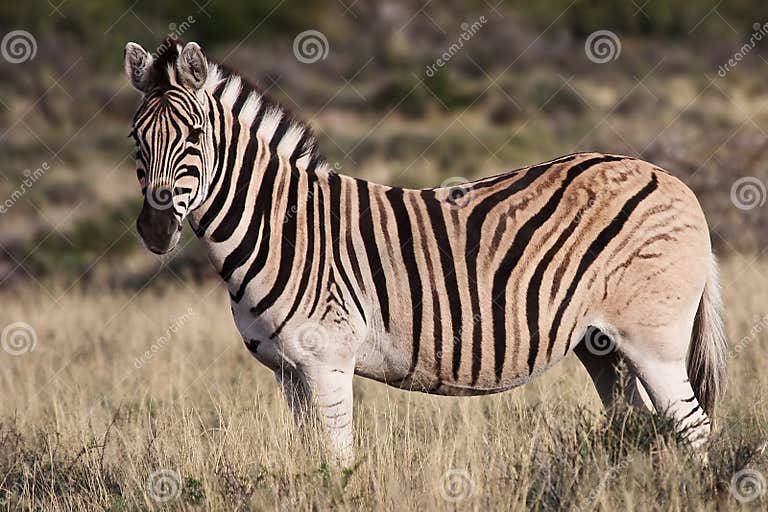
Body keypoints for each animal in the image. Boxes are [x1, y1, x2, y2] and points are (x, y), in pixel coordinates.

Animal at [124, 39, 726, 463]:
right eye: (135, 140)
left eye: (195, 137)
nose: (154, 230)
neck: (279, 228)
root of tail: (672, 179)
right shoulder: (287, 371)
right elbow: (308, 460)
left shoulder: (327, 362)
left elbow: (336, 462)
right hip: (603, 347)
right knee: (640, 428)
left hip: (654, 340)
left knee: (693, 428)